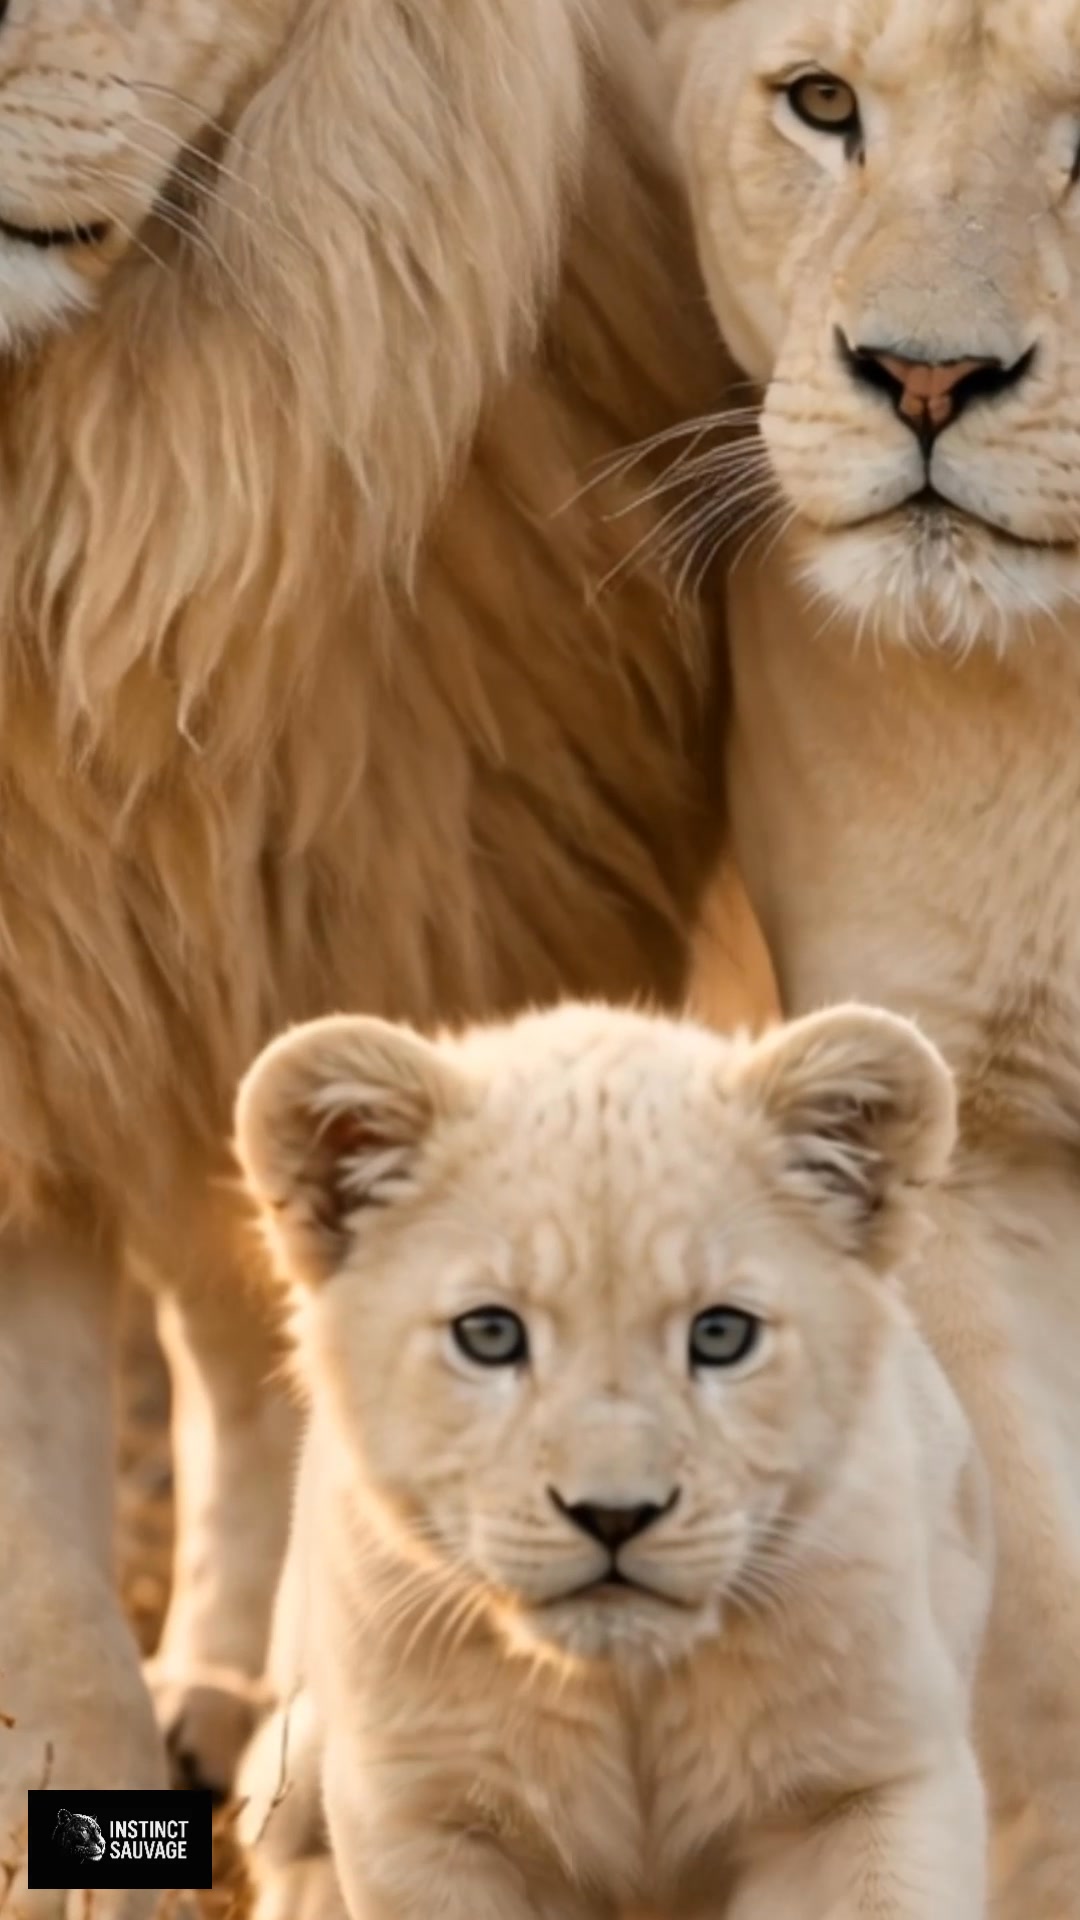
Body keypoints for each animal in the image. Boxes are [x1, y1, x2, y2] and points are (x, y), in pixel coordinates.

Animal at [232, 998, 990, 1920]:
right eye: (490, 1335)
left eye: (721, 1333)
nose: (615, 1515)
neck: (626, 1687)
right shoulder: (422, 1811)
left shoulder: (867, 1781)